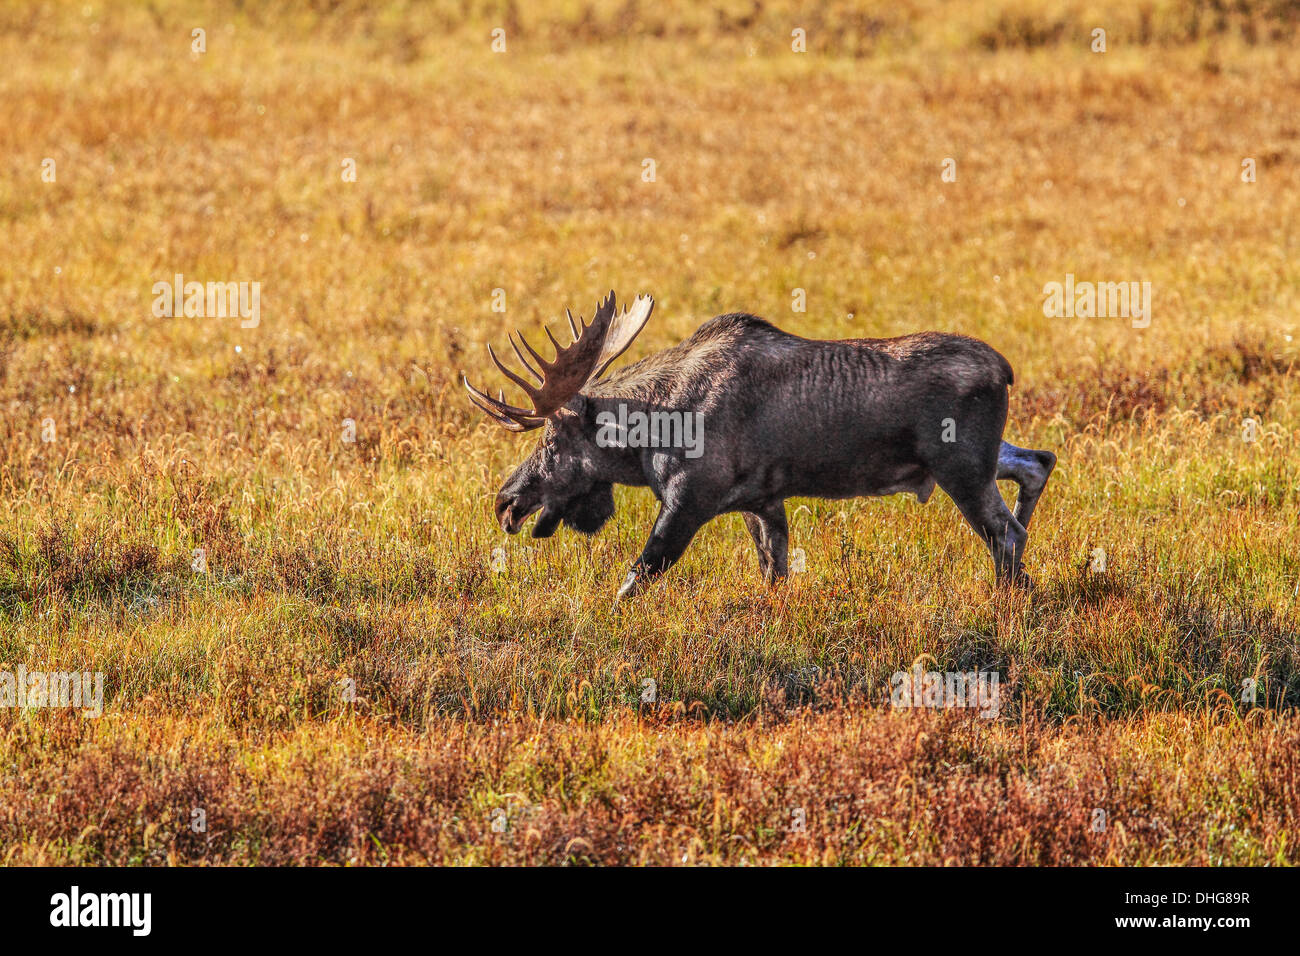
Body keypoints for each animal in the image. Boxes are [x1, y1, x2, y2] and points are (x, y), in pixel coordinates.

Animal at [464, 291, 1057, 603]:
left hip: (960, 467)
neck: (650, 431)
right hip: (978, 460)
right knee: (1037, 463)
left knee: (1006, 530)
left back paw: (1009, 600)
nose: (505, 502)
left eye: (553, 439)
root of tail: (1004, 368)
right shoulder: (762, 502)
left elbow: (636, 578)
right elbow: (774, 569)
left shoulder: (687, 499)